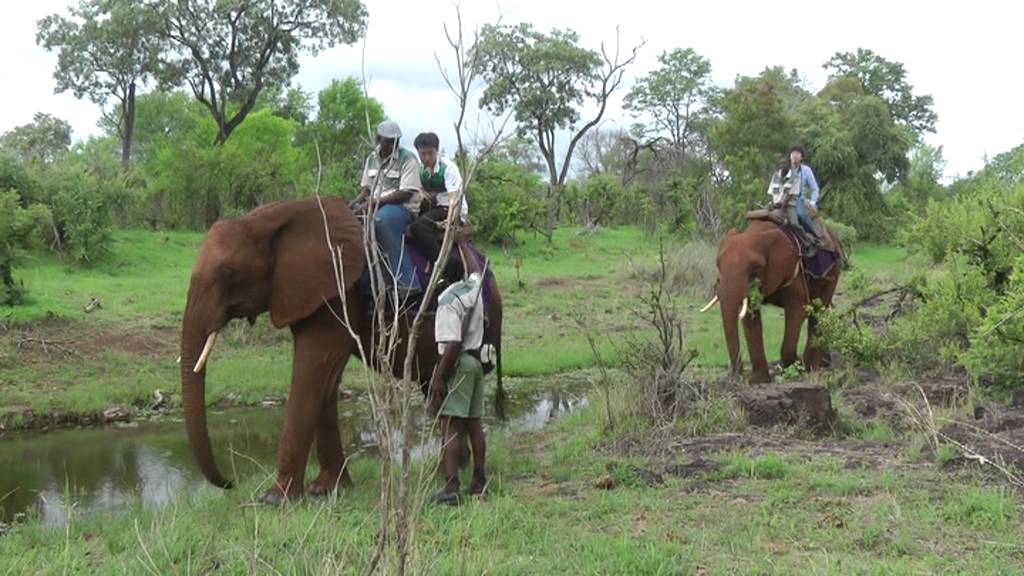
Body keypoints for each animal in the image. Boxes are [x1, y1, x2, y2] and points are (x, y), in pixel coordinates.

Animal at [179, 197, 503, 503]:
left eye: (228, 273)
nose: (230, 483)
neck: (274, 218)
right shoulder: (314, 293)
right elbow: (326, 379)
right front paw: (328, 490)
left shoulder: (339, 290)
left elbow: (313, 370)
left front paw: (274, 500)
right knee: (440, 393)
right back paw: (447, 474)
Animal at [704, 220, 842, 384]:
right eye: (718, 265)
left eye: (755, 267)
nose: (738, 377)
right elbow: (751, 319)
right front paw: (759, 380)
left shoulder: (794, 270)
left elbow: (797, 311)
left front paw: (795, 368)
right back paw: (822, 365)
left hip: (833, 271)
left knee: (818, 310)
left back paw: (811, 366)